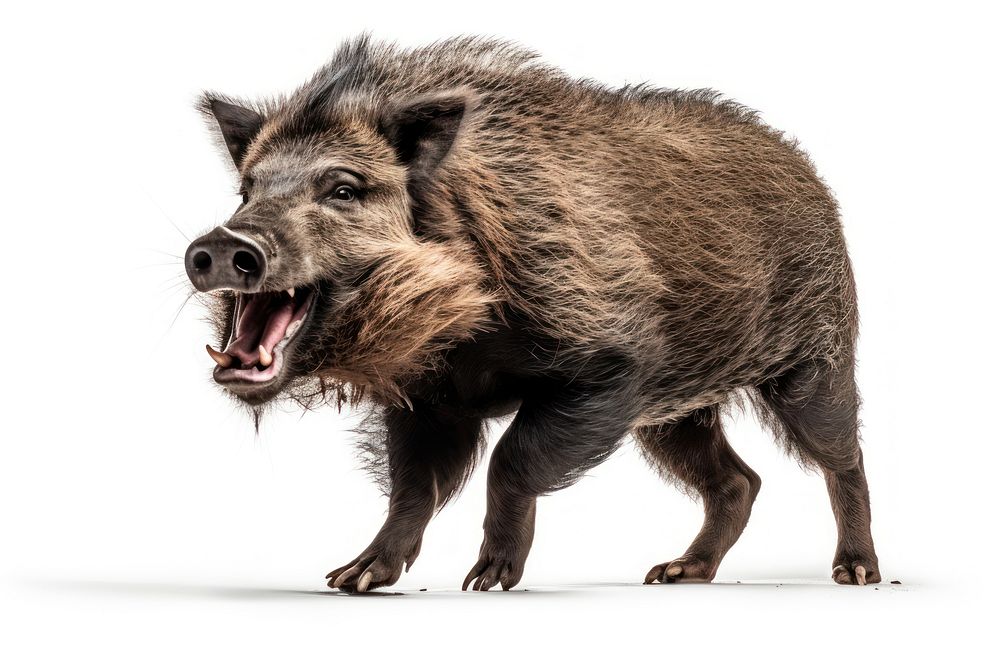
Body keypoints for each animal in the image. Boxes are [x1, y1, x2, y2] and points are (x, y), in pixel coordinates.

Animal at [185, 35, 880, 592]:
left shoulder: (612, 368)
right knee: (738, 481)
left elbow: (510, 460)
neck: (467, 338)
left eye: (343, 189)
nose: (221, 243)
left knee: (841, 454)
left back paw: (857, 573)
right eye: (246, 189)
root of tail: (810, 175)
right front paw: (351, 579)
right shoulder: (427, 399)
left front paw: (486, 581)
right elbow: (413, 487)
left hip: (816, 353)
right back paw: (672, 574)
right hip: (674, 411)